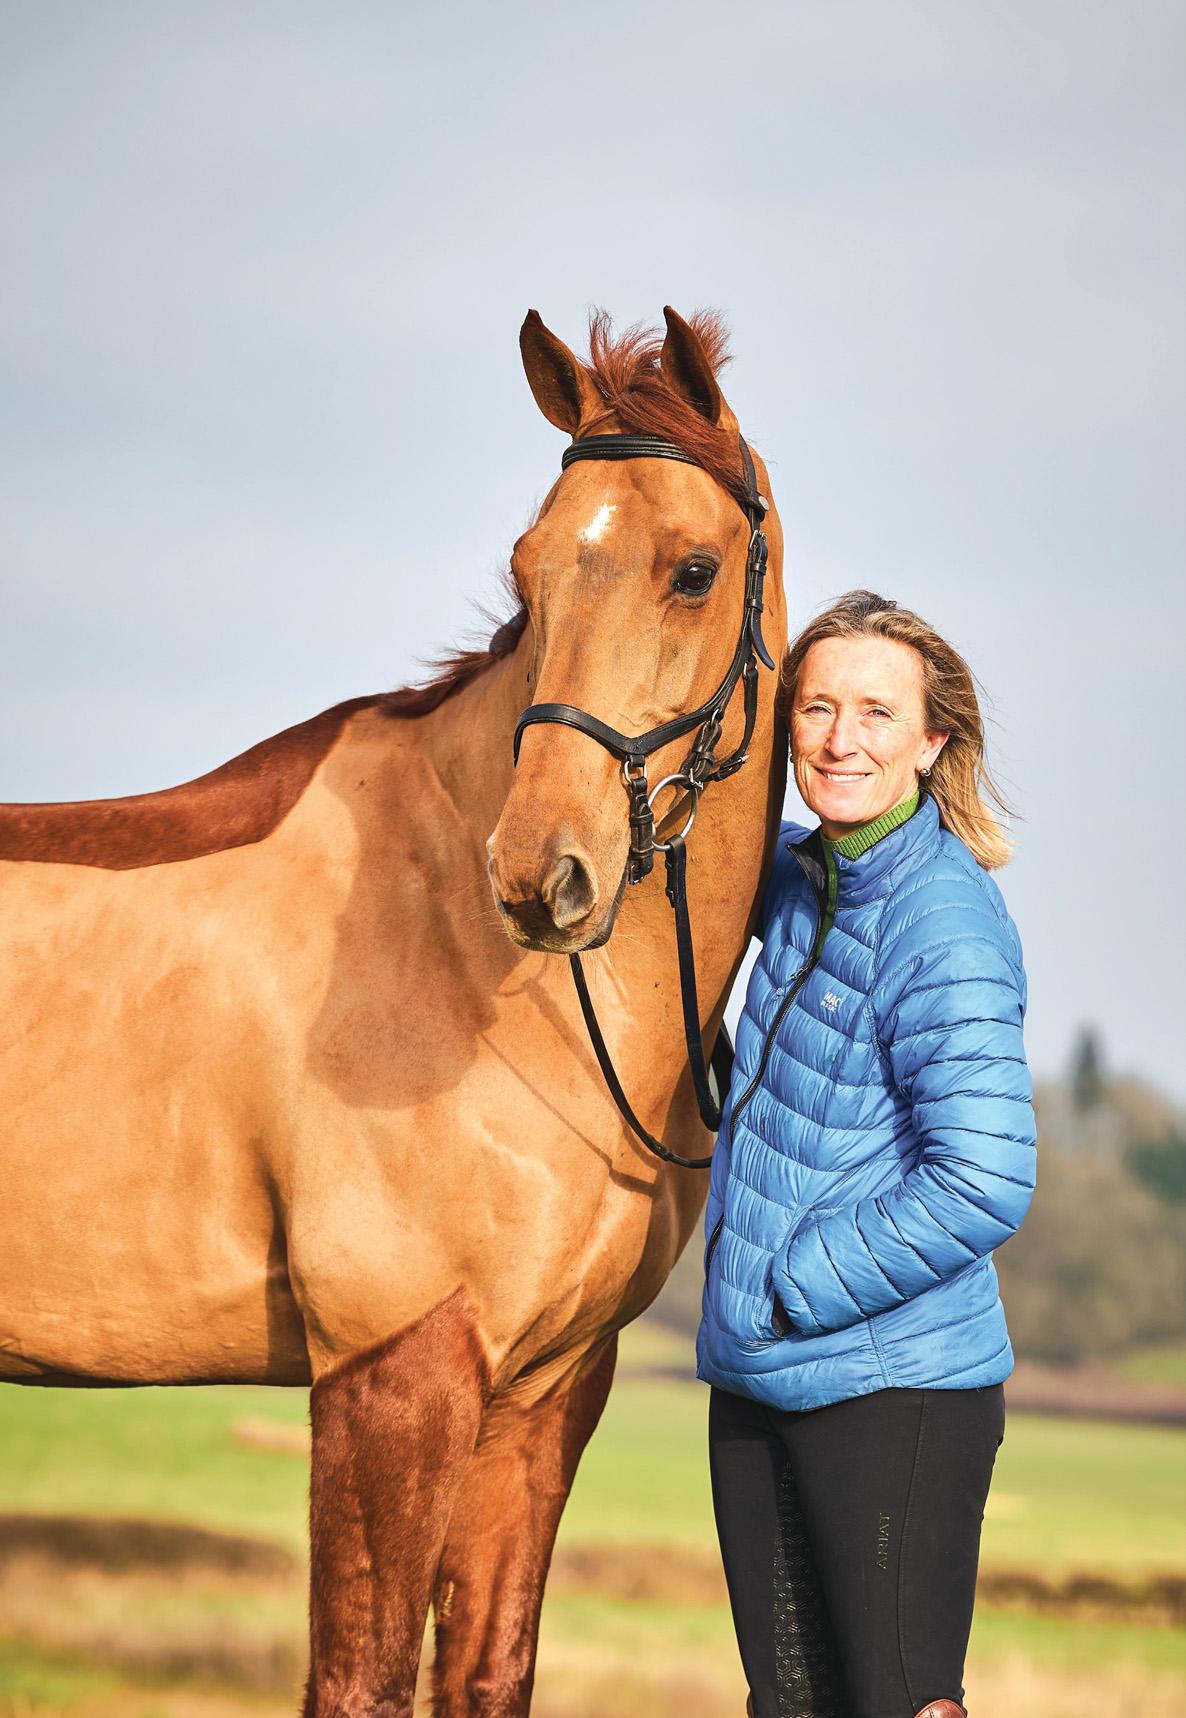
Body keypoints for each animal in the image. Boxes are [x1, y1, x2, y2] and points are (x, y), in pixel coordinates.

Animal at [0, 306, 788, 1715]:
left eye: (694, 570)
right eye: (530, 567)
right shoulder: (395, 1369)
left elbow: (484, 1669)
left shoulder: (542, 1390)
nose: (538, 873)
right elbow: (359, 1679)